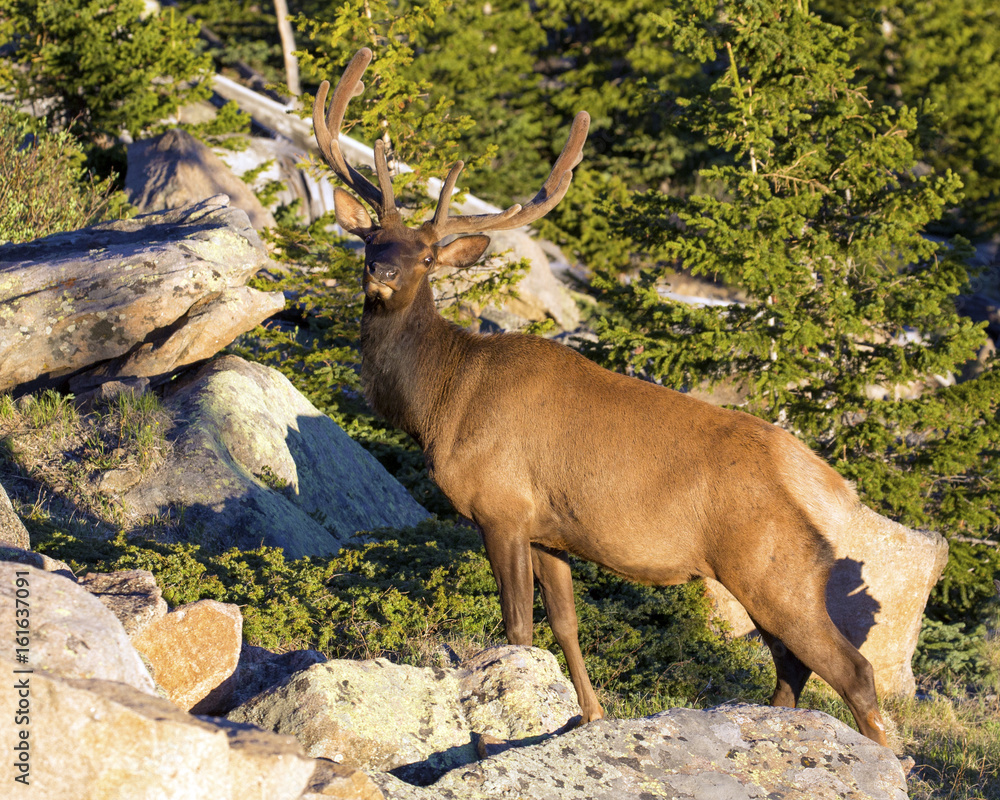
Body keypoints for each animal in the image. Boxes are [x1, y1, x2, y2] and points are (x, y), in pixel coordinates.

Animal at [313, 47, 889, 747]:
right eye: (370, 238)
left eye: (427, 257)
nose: (383, 271)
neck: (439, 400)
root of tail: (831, 487)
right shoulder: (550, 531)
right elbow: (565, 626)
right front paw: (587, 718)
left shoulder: (501, 506)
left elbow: (517, 631)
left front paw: (499, 733)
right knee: (793, 668)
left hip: (776, 568)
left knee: (854, 672)